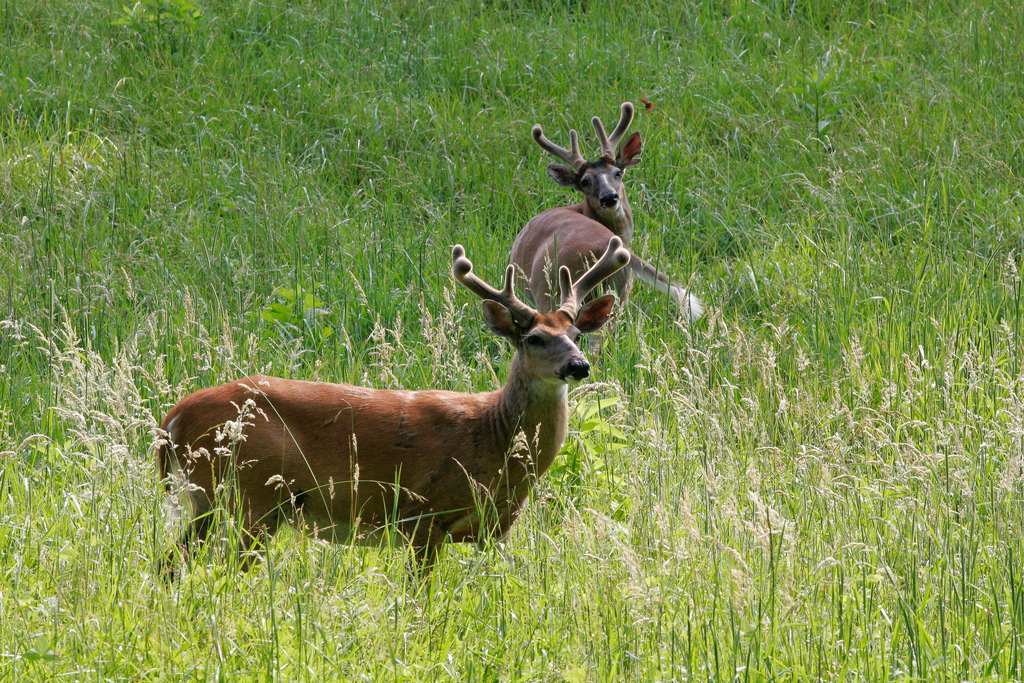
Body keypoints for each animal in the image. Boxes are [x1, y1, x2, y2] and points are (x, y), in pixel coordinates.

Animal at [156, 237, 631, 575]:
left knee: (171, 562)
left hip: (209, 498)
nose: (579, 365)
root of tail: (173, 418)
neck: (492, 439)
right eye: (533, 338)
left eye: (576, 333)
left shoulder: (490, 533)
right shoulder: (424, 514)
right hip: (253, 493)